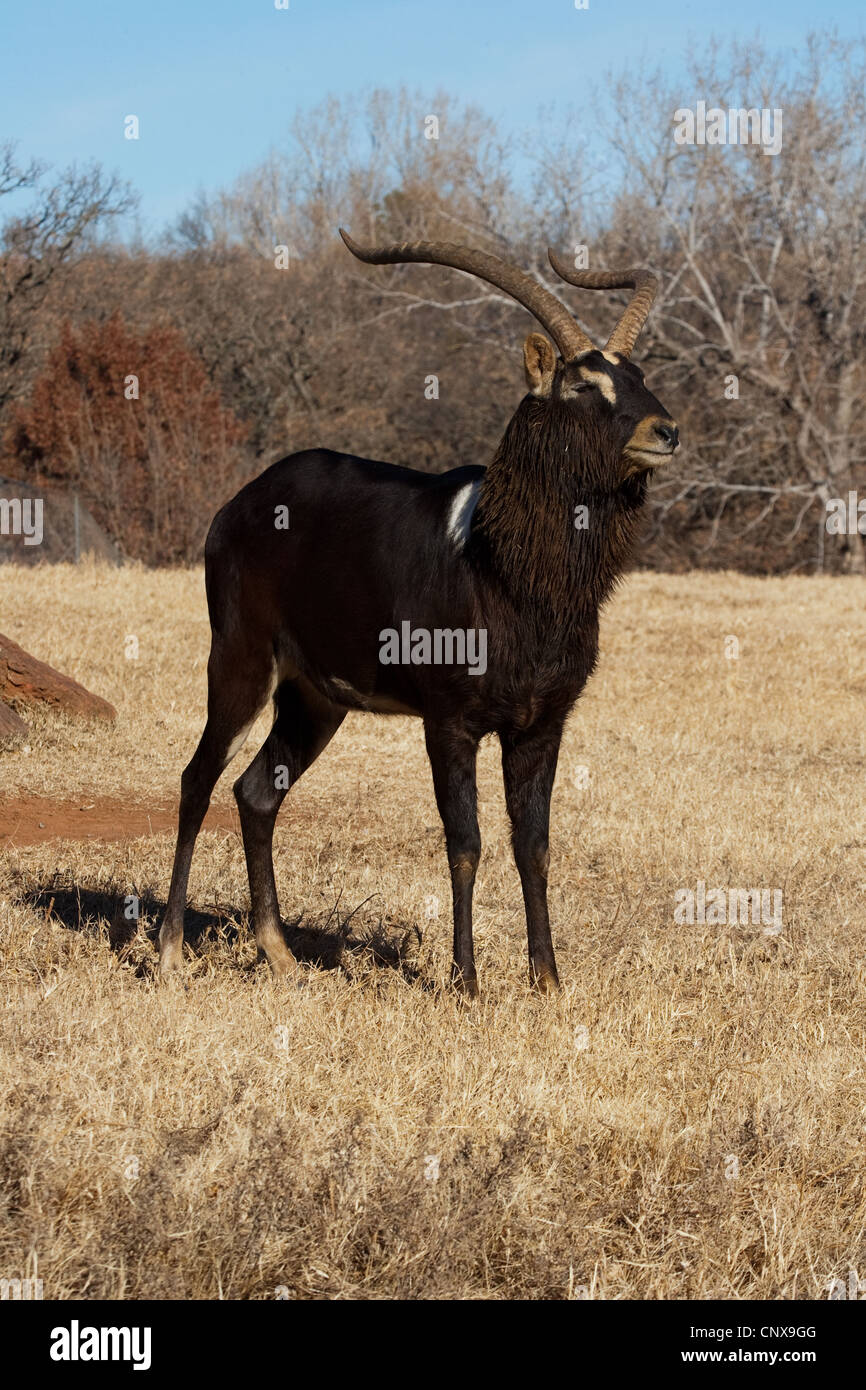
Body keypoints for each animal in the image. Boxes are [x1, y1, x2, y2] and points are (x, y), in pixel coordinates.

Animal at [159, 232, 679, 995]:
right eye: (583, 384)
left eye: (638, 374)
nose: (665, 431)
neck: (499, 561)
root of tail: (240, 504)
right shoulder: (450, 724)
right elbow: (466, 843)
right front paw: (465, 982)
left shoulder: (540, 727)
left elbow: (535, 846)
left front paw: (548, 983)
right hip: (241, 664)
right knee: (197, 779)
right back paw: (168, 952)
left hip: (314, 700)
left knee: (255, 792)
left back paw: (282, 956)